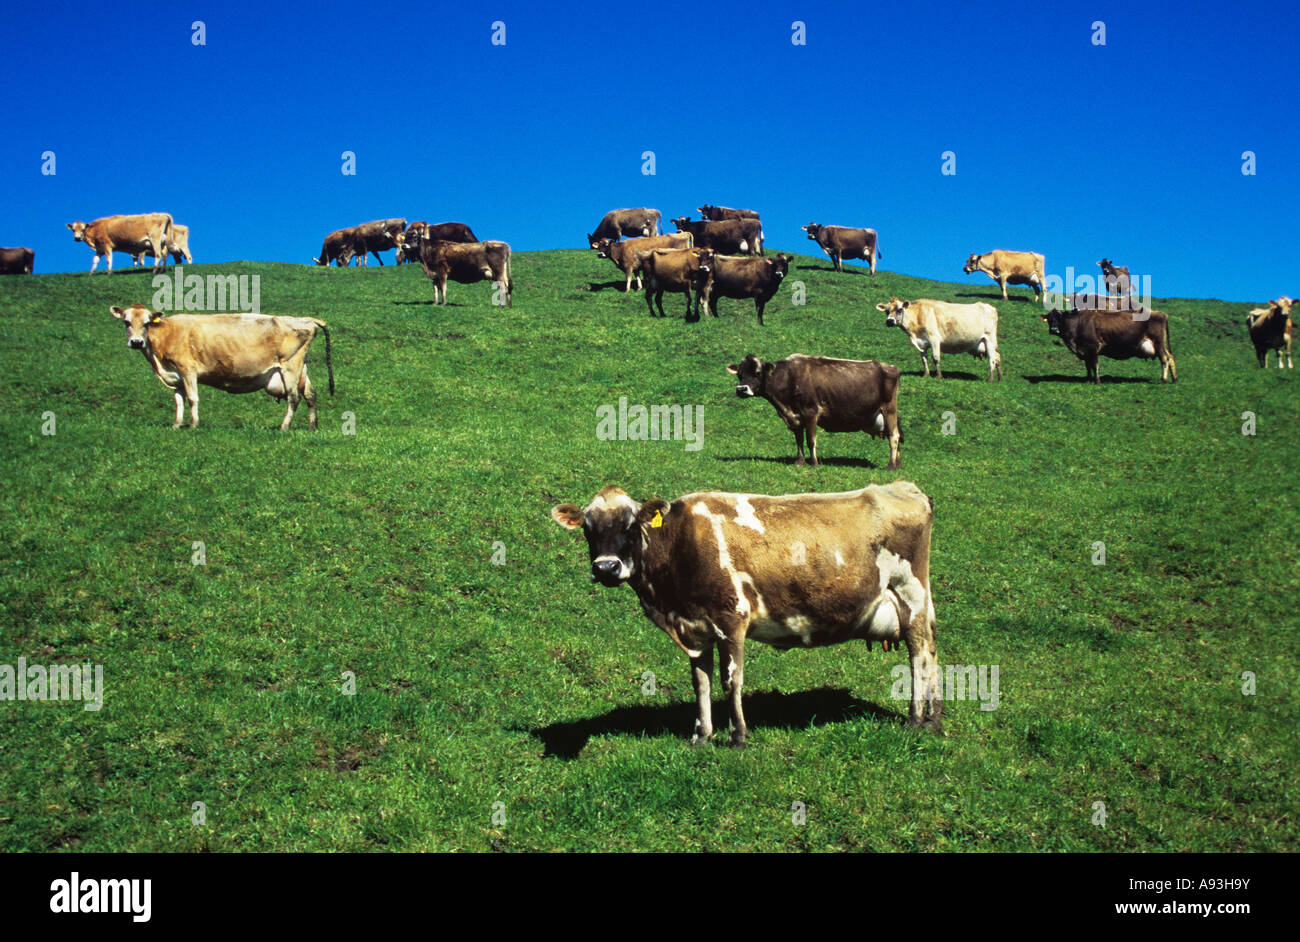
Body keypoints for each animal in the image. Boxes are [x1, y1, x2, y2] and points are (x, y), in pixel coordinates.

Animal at [108, 304, 333, 430]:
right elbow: (179, 401)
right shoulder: (176, 376)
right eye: (126, 322)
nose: (136, 342)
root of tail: (303, 319)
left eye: (147, 323)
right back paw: (312, 427)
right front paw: (176, 425)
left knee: (294, 397)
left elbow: (192, 398)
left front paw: (193, 425)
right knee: (310, 393)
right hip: (301, 366)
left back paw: (284, 427)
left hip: (290, 366)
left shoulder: (188, 369)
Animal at [549, 481, 941, 745]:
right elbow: (701, 682)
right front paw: (702, 736)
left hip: (910, 594)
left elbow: (731, 680)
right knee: (932, 653)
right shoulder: (696, 628)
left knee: (918, 655)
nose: (606, 568)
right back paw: (935, 717)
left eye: (631, 526)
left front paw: (738, 735)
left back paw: (915, 719)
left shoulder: (731, 618)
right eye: (587, 528)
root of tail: (902, 488)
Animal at [727, 354, 902, 469]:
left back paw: (890, 466)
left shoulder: (811, 412)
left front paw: (815, 463)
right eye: (739, 374)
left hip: (889, 409)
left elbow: (811, 440)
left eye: (757, 373)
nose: (741, 389)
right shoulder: (795, 417)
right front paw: (799, 461)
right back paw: (898, 465)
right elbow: (798, 439)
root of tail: (891, 367)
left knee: (894, 436)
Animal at [1043, 307, 1177, 383]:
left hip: (1158, 343)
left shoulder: (1093, 348)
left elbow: (1095, 365)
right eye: (1049, 319)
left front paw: (1097, 381)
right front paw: (1088, 380)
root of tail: (1160, 313)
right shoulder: (1085, 351)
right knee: (1170, 357)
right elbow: (1088, 366)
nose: (1053, 329)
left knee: (1165, 359)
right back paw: (1174, 379)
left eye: (1059, 317)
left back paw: (1163, 380)